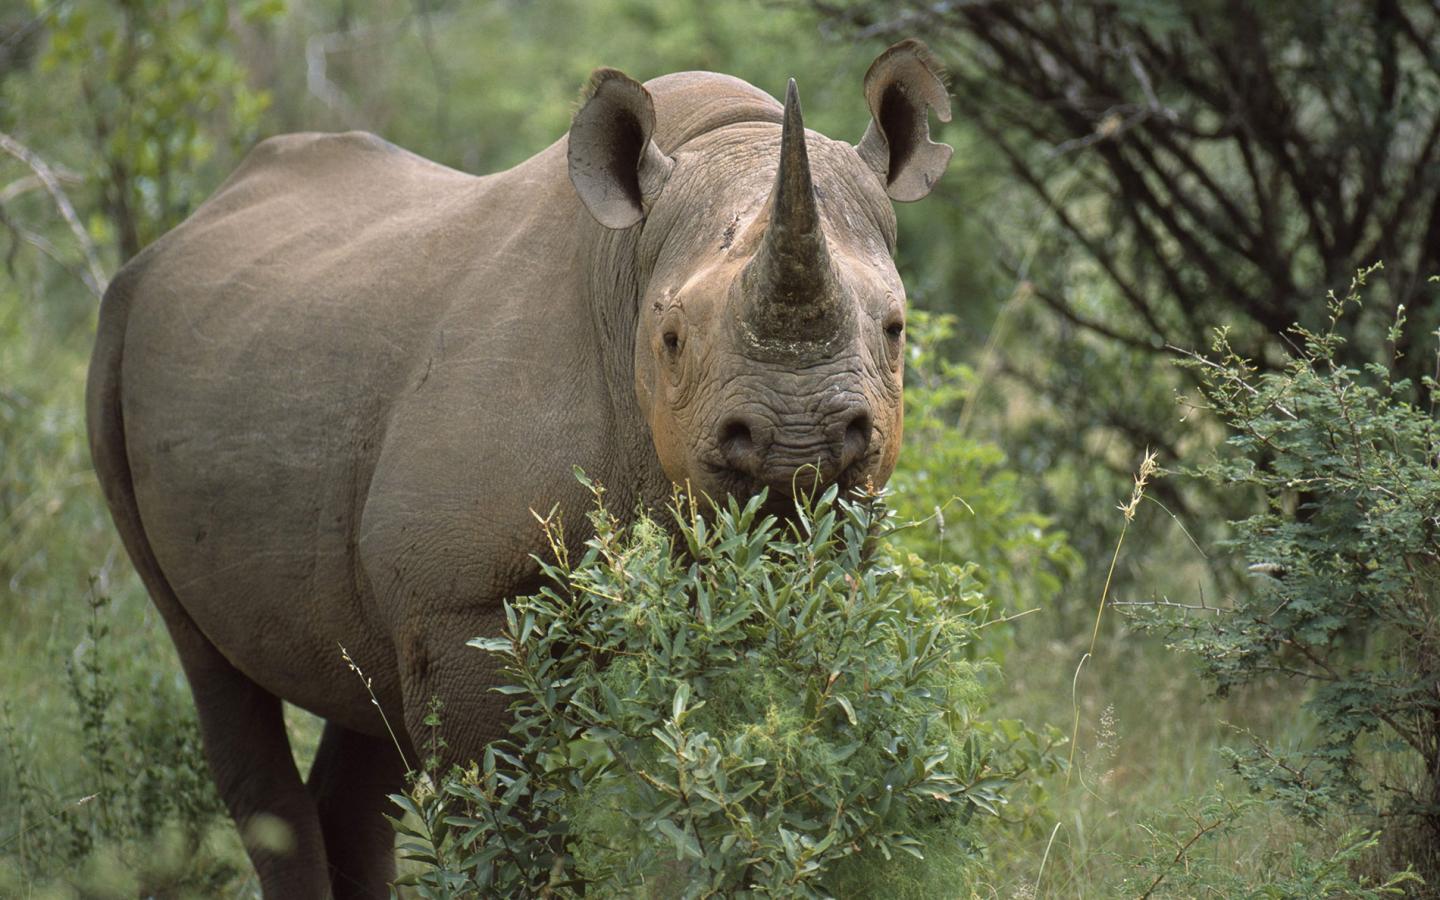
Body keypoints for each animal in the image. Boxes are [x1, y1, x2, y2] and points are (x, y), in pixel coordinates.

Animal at [86, 39, 951, 898]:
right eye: (671, 339)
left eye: (896, 329)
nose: (797, 446)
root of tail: (183, 230)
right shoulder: (457, 595)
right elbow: (503, 810)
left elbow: (737, 761)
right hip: (119, 339)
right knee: (210, 665)